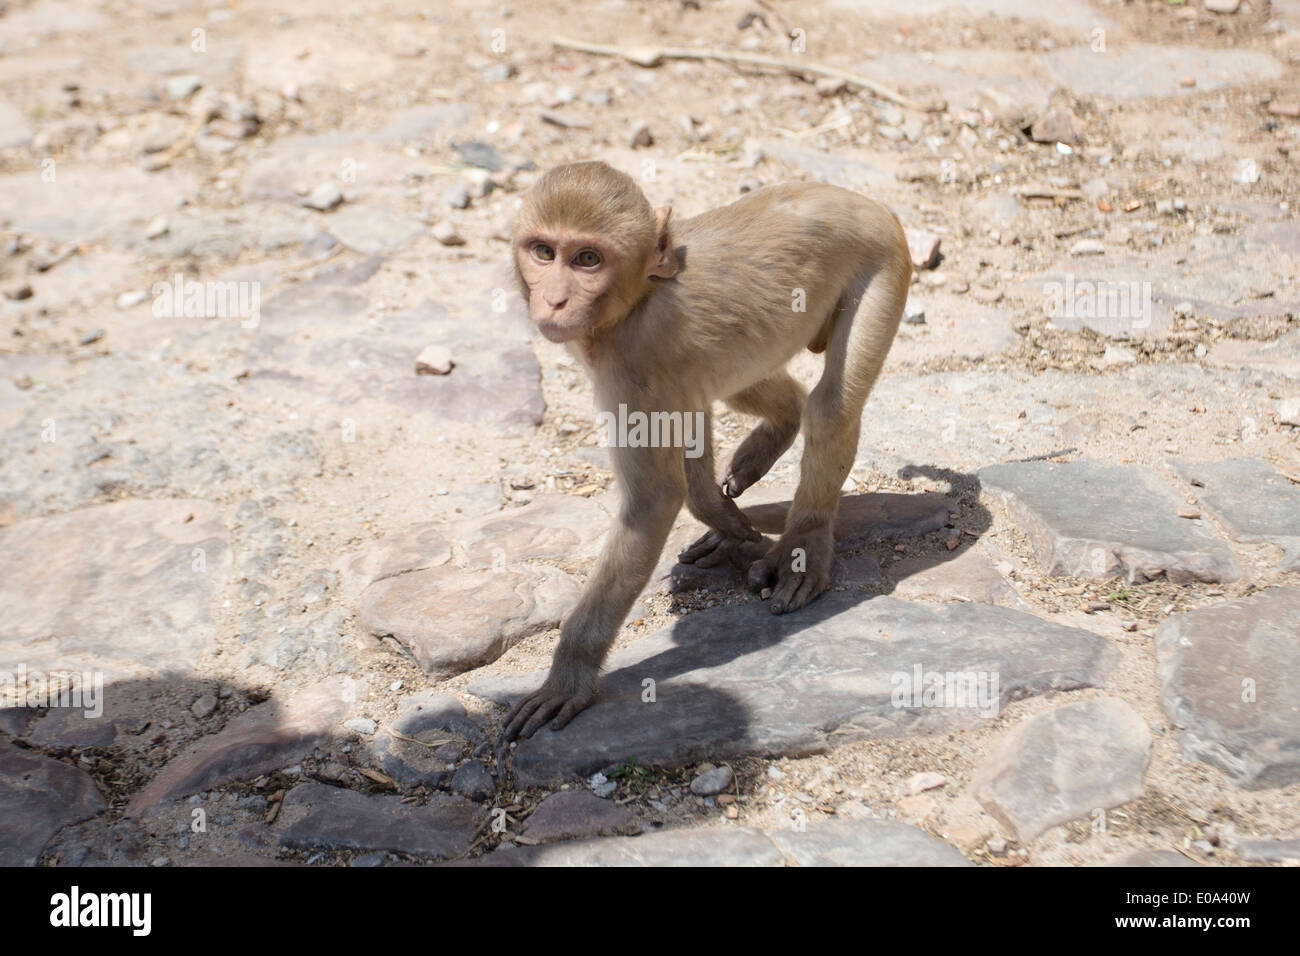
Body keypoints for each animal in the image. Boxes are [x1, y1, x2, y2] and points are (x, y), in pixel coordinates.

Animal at [503, 161, 911, 740]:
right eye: (543, 252)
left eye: (587, 259)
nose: (555, 299)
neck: (636, 299)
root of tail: (868, 203)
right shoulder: (659, 378)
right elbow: (690, 423)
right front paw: (722, 519)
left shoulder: (631, 369)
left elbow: (653, 500)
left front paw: (568, 679)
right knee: (740, 383)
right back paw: (770, 444)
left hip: (883, 267)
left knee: (833, 405)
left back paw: (802, 544)